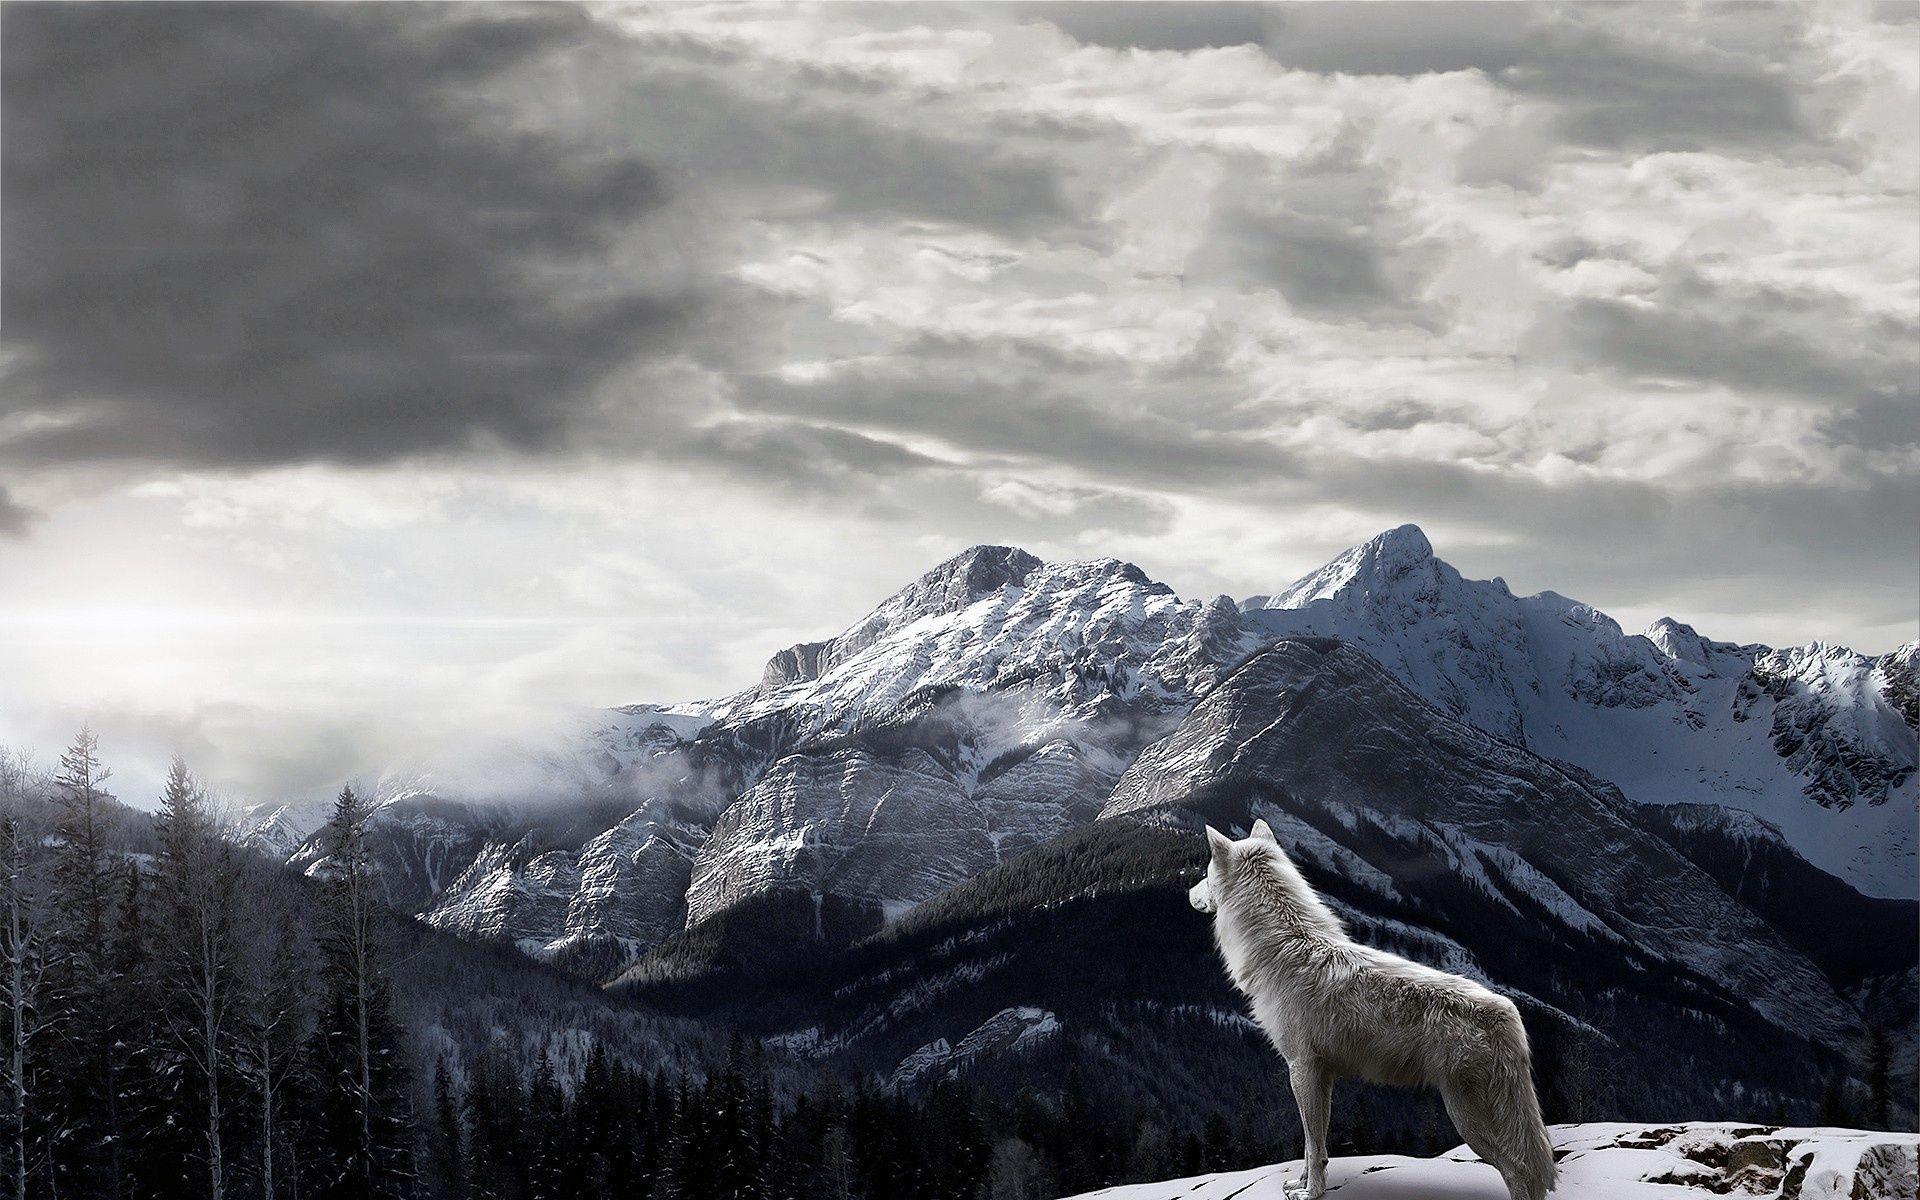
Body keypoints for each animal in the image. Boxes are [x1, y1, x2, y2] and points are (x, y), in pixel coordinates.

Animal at [1189, 820, 1557, 1200]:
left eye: (1205, 875)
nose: (1188, 892)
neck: (1284, 948)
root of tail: (1506, 1012)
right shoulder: (1321, 1075)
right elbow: (1313, 1145)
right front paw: (1302, 1183)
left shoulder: (1301, 1068)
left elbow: (1312, 1143)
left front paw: (1311, 1193)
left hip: (1468, 1119)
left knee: (1519, 1170)